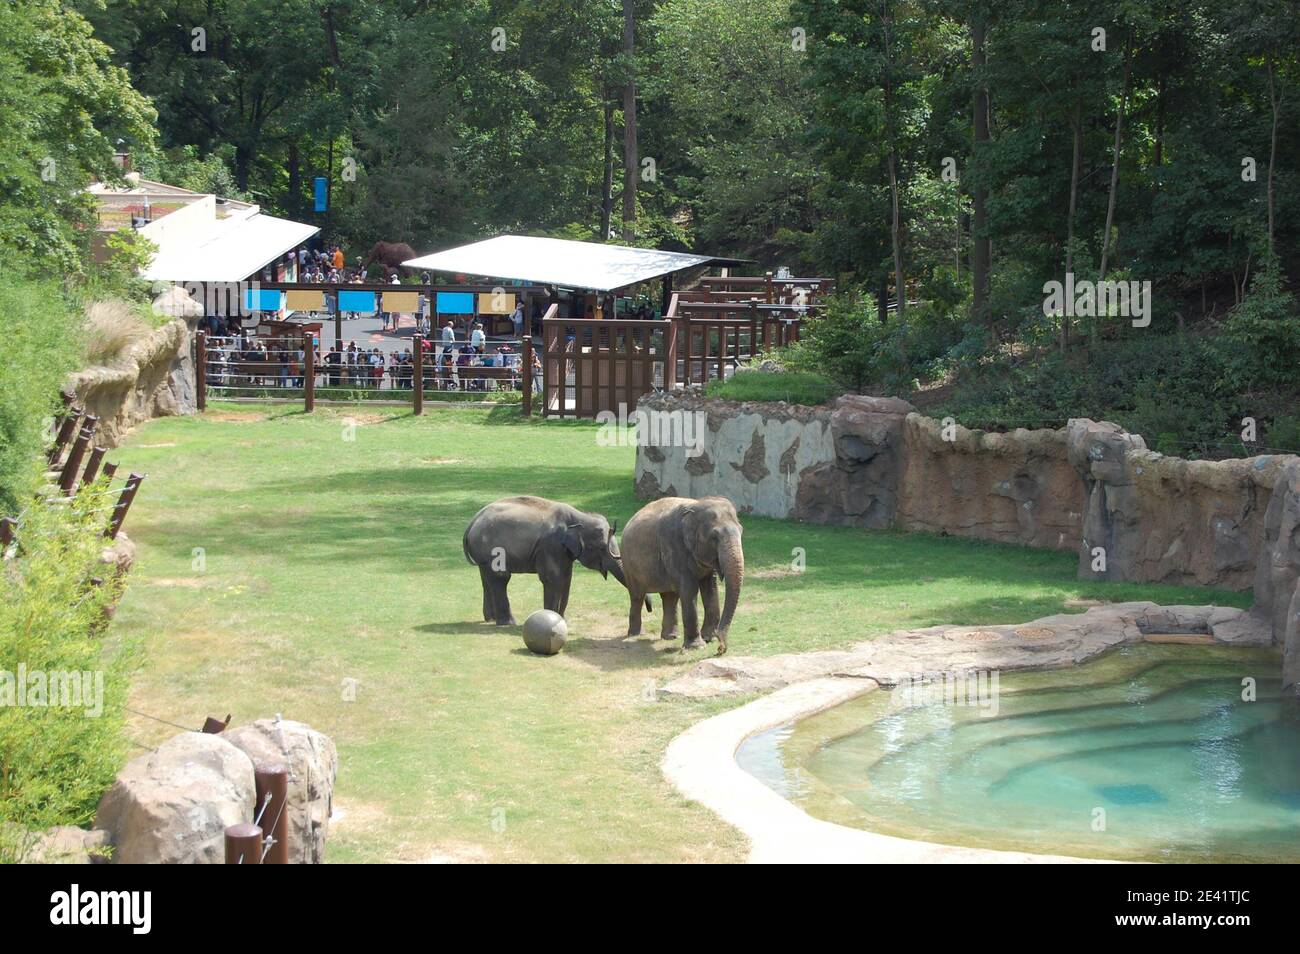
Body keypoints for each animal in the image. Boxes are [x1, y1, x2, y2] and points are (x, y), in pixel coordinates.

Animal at [463, 495, 644, 625]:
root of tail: (472, 522)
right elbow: (553, 578)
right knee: (501, 578)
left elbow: (567, 580)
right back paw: (508, 623)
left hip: (483, 554)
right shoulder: (550, 546)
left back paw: (491, 619)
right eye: (600, 548)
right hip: (490, 549)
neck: (579, 515)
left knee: (487, 579)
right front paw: (552, 617)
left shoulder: (564, 551)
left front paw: (562, 620)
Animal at [620, 496, 745, 655]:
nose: (720, 648)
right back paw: (634, 635)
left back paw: (671, 637)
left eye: (741, 531)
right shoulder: (674, 546)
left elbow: (711, 588)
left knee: (670, 596)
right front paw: (697, 646)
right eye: (714, 537)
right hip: (629, 565)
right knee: (637, 596)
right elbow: (689, 589)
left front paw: (708, 638)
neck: (696, 505)